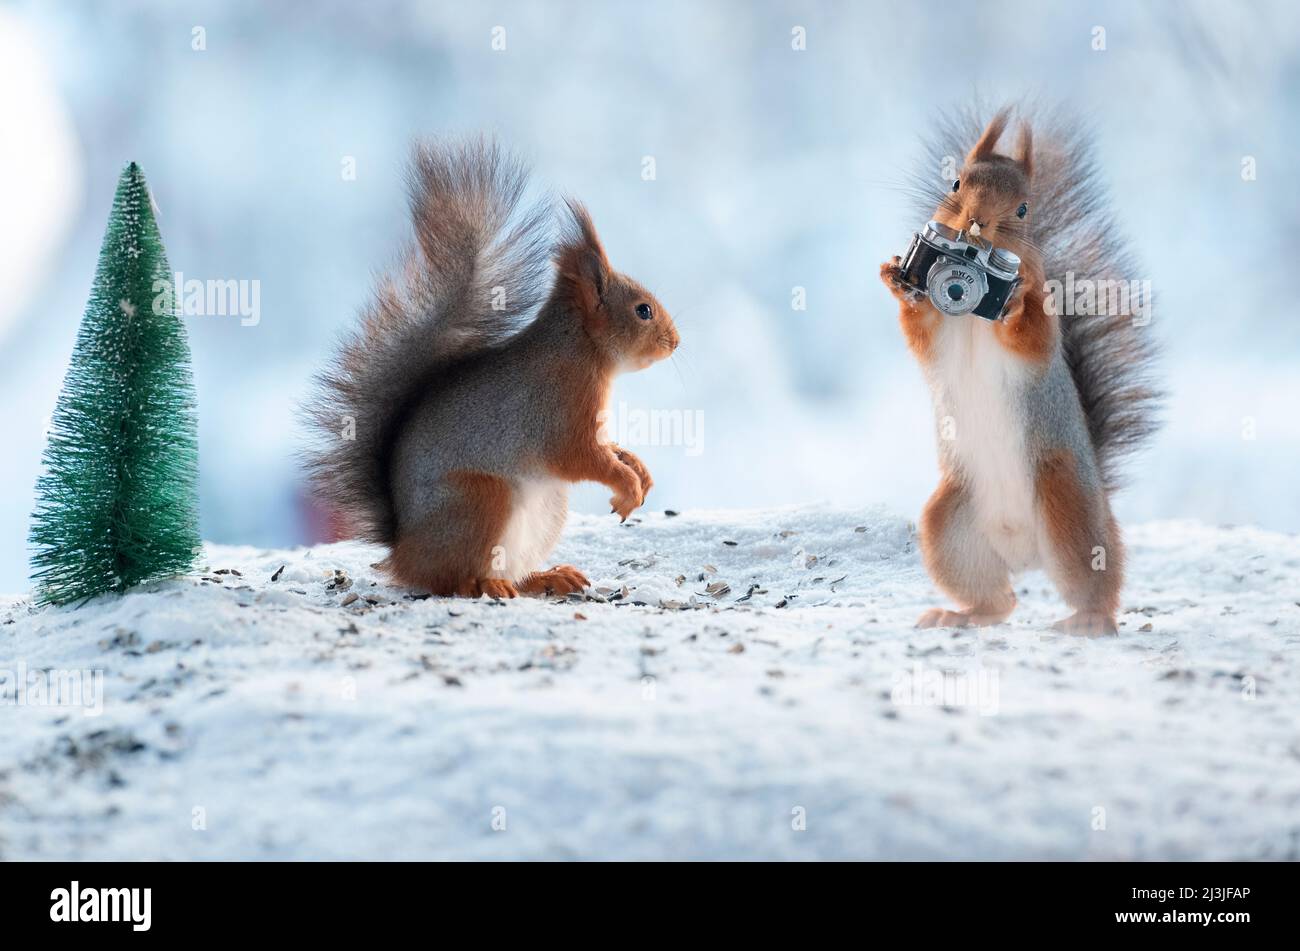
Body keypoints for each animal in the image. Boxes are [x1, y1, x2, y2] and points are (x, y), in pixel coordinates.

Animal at [305, 139, 679, 598]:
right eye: (643, 311)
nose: (676, 342)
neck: (583, 351)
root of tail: (403, 551)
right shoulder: (558, 409)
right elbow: (580, 456)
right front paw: (625, 484)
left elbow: (607, 447)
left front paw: (636, 467)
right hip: (483, 499)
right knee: (451, 578)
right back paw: (486, 585)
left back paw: (548, 577)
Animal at [881, 106, 1160, 636]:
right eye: (956, 182)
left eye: (1025, 208)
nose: (977, 223)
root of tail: (1025, 555)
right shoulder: (937, 333)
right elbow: (920, 332)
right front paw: (895, 277)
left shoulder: (1039, 328)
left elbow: (1031, 334)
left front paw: (1013, 304)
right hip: (949, 526)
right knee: (1001, 601)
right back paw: (957, 615)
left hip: (1067, 504)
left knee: (1094, 584)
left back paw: (1088, 620)